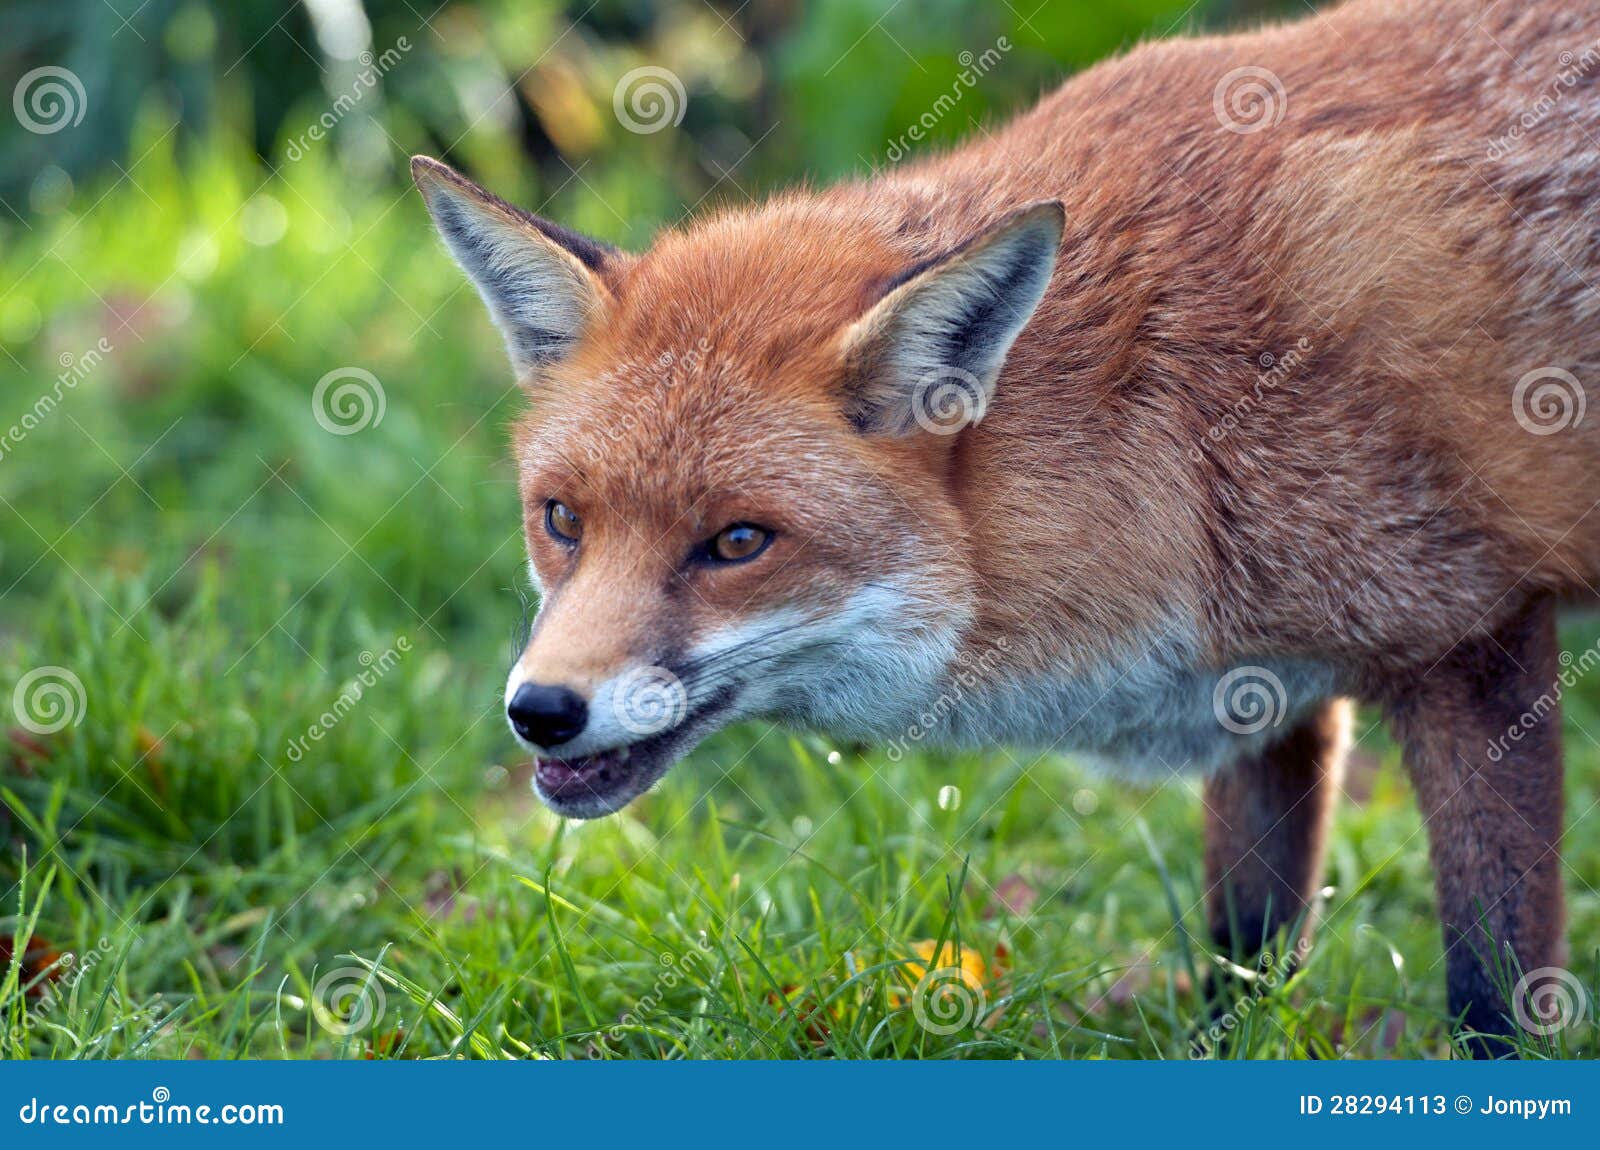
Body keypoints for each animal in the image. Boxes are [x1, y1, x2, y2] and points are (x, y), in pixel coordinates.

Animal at [412, 0, 1600, 1053]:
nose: (540, 712)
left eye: (738, 543)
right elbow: (1244, 959)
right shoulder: (1267, 694)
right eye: (562, 519)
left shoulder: (1471, 638)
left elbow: (1493, 992)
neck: (1184, 436)